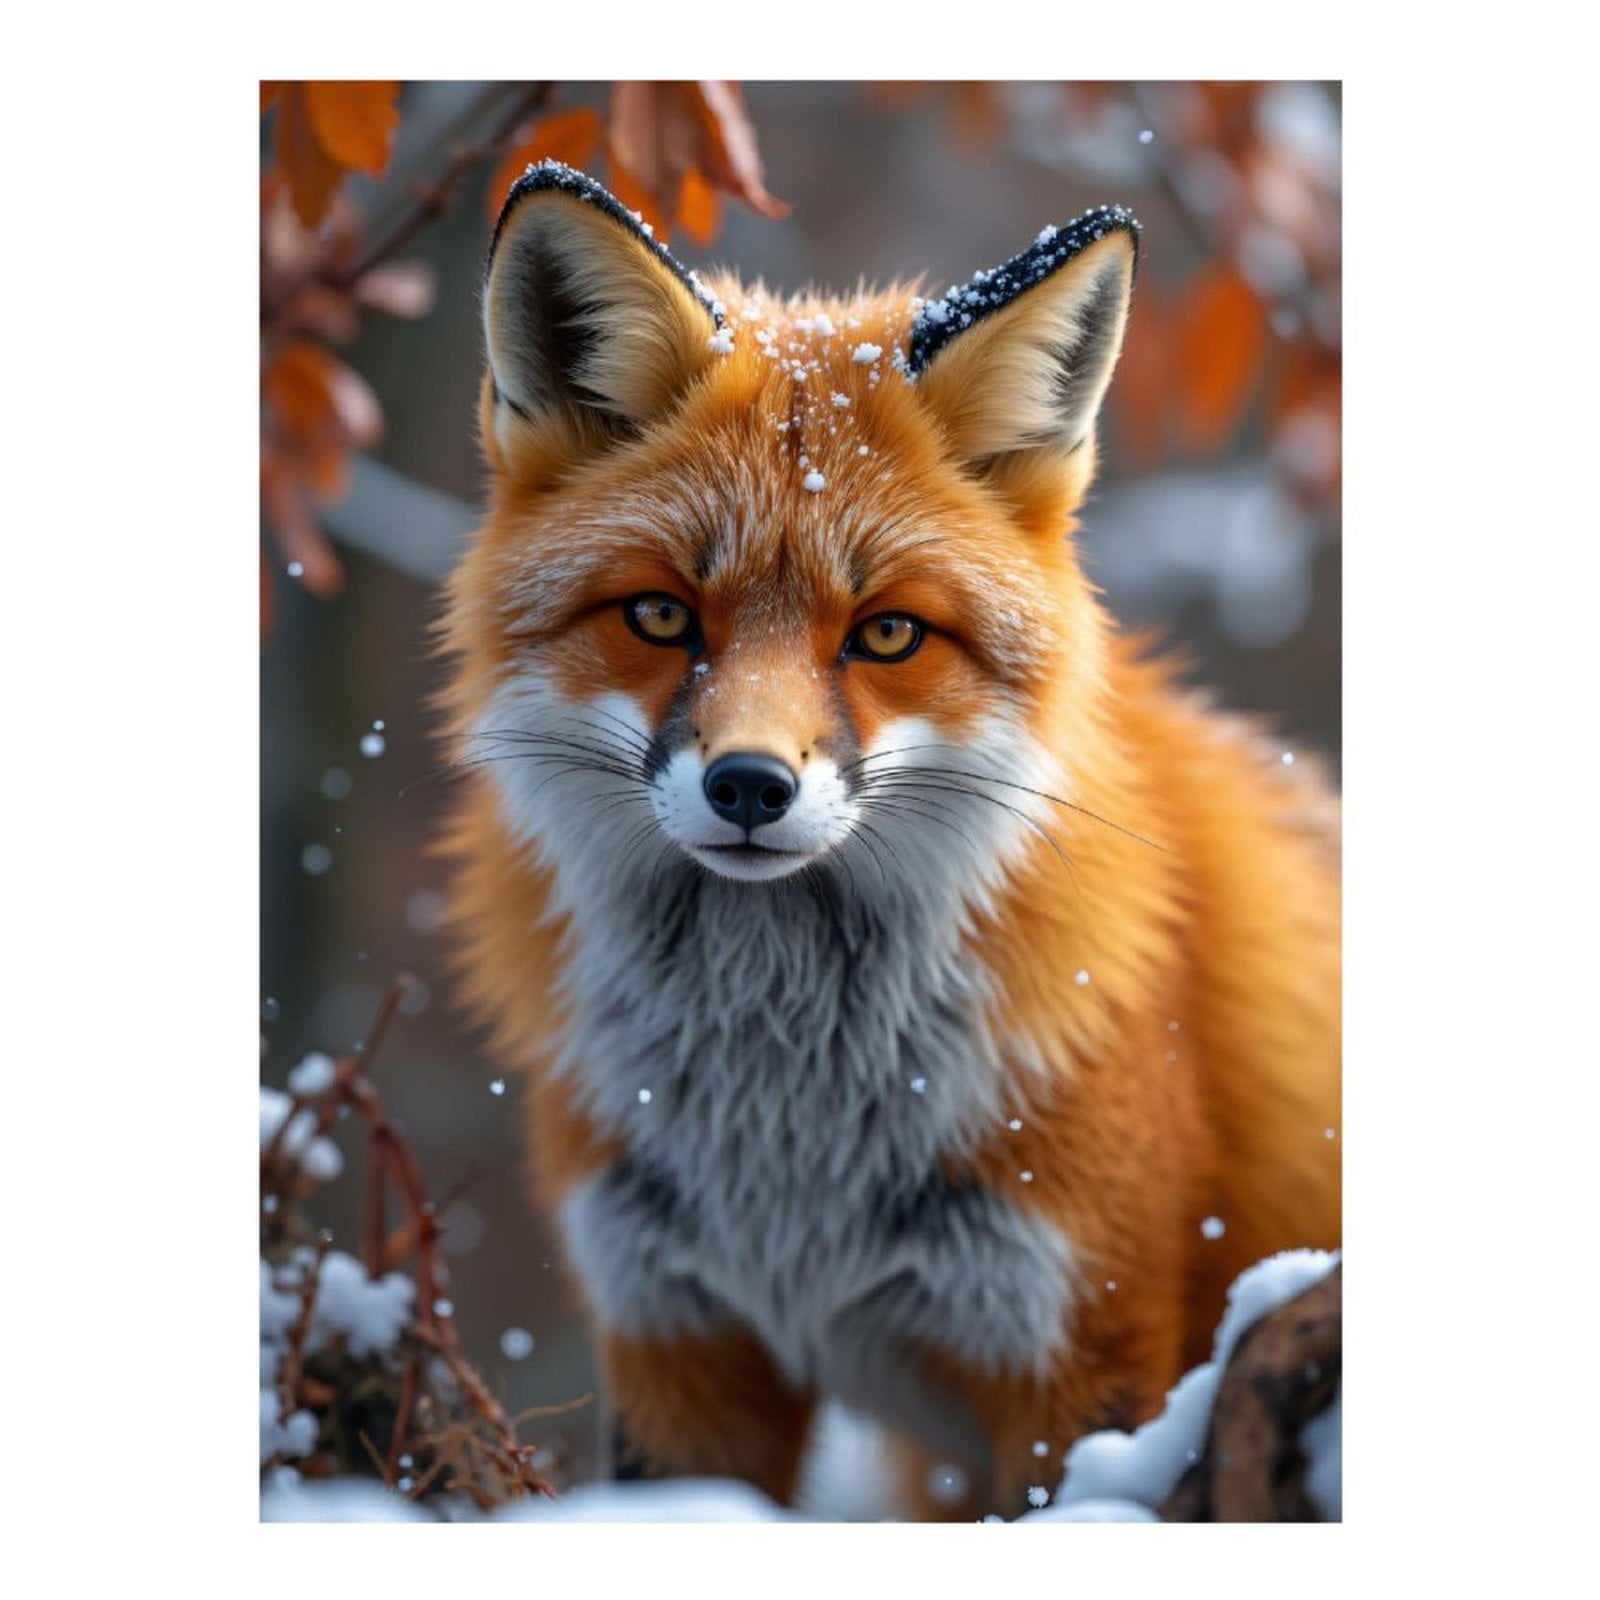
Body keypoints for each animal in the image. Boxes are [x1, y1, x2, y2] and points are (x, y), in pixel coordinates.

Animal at [437, 161, 1340, 1521]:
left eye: (887, 635)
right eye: (661, 616)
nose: (748, 784)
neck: (789, 1143)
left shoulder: (1077, 1348)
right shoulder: (677, 1336)